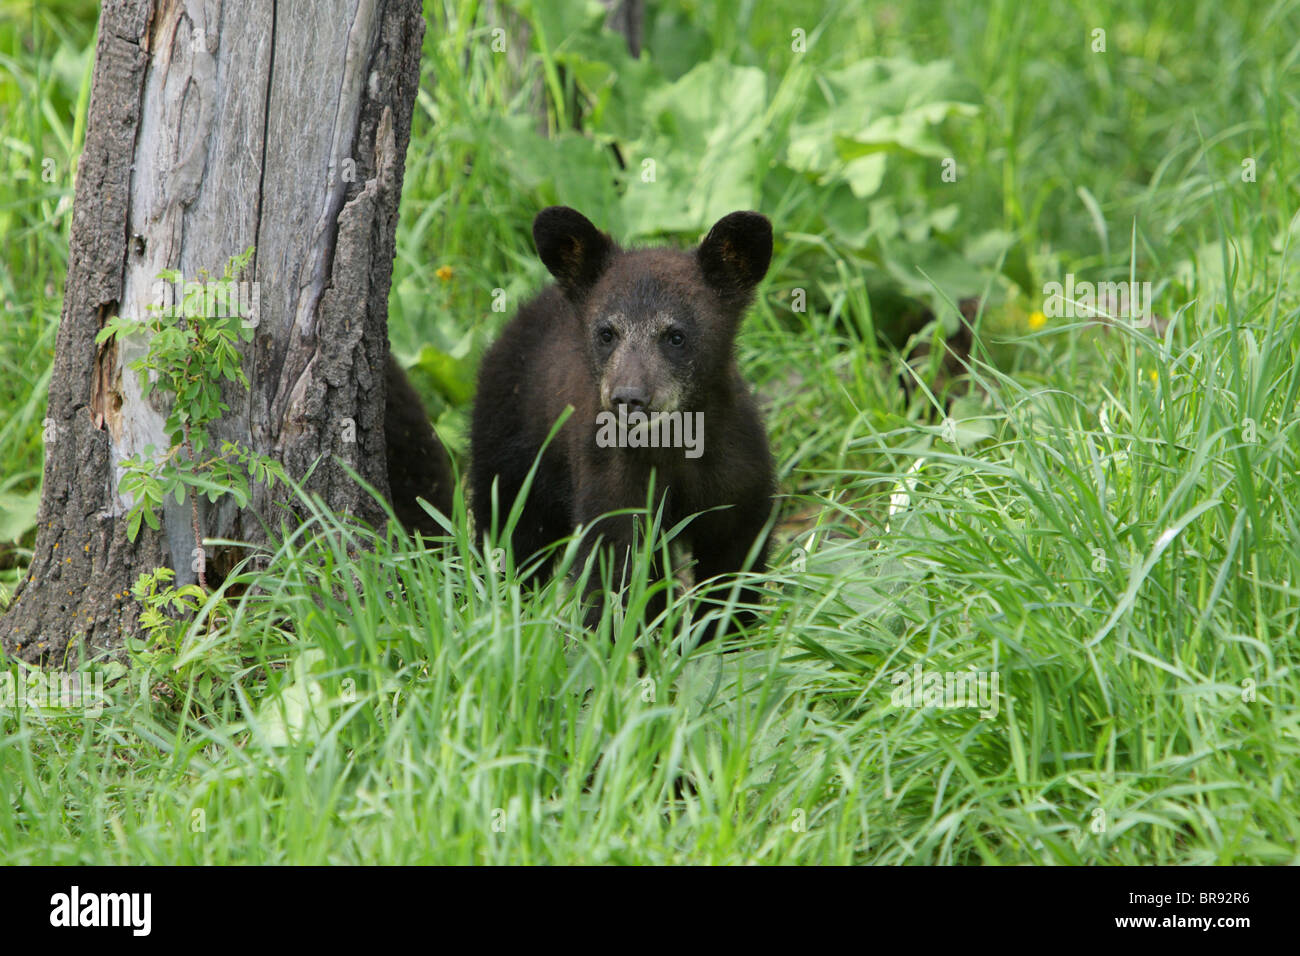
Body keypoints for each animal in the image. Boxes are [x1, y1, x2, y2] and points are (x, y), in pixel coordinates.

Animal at [469, 206, 775, 639]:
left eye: (676, 335)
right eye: (606, 333)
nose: (629, 397)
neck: (673, 443)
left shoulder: (738, 473)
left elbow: (734, 560)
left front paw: (725, 637)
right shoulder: (611, 476)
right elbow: (616, 567)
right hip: (510, 443)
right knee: (510, 529)